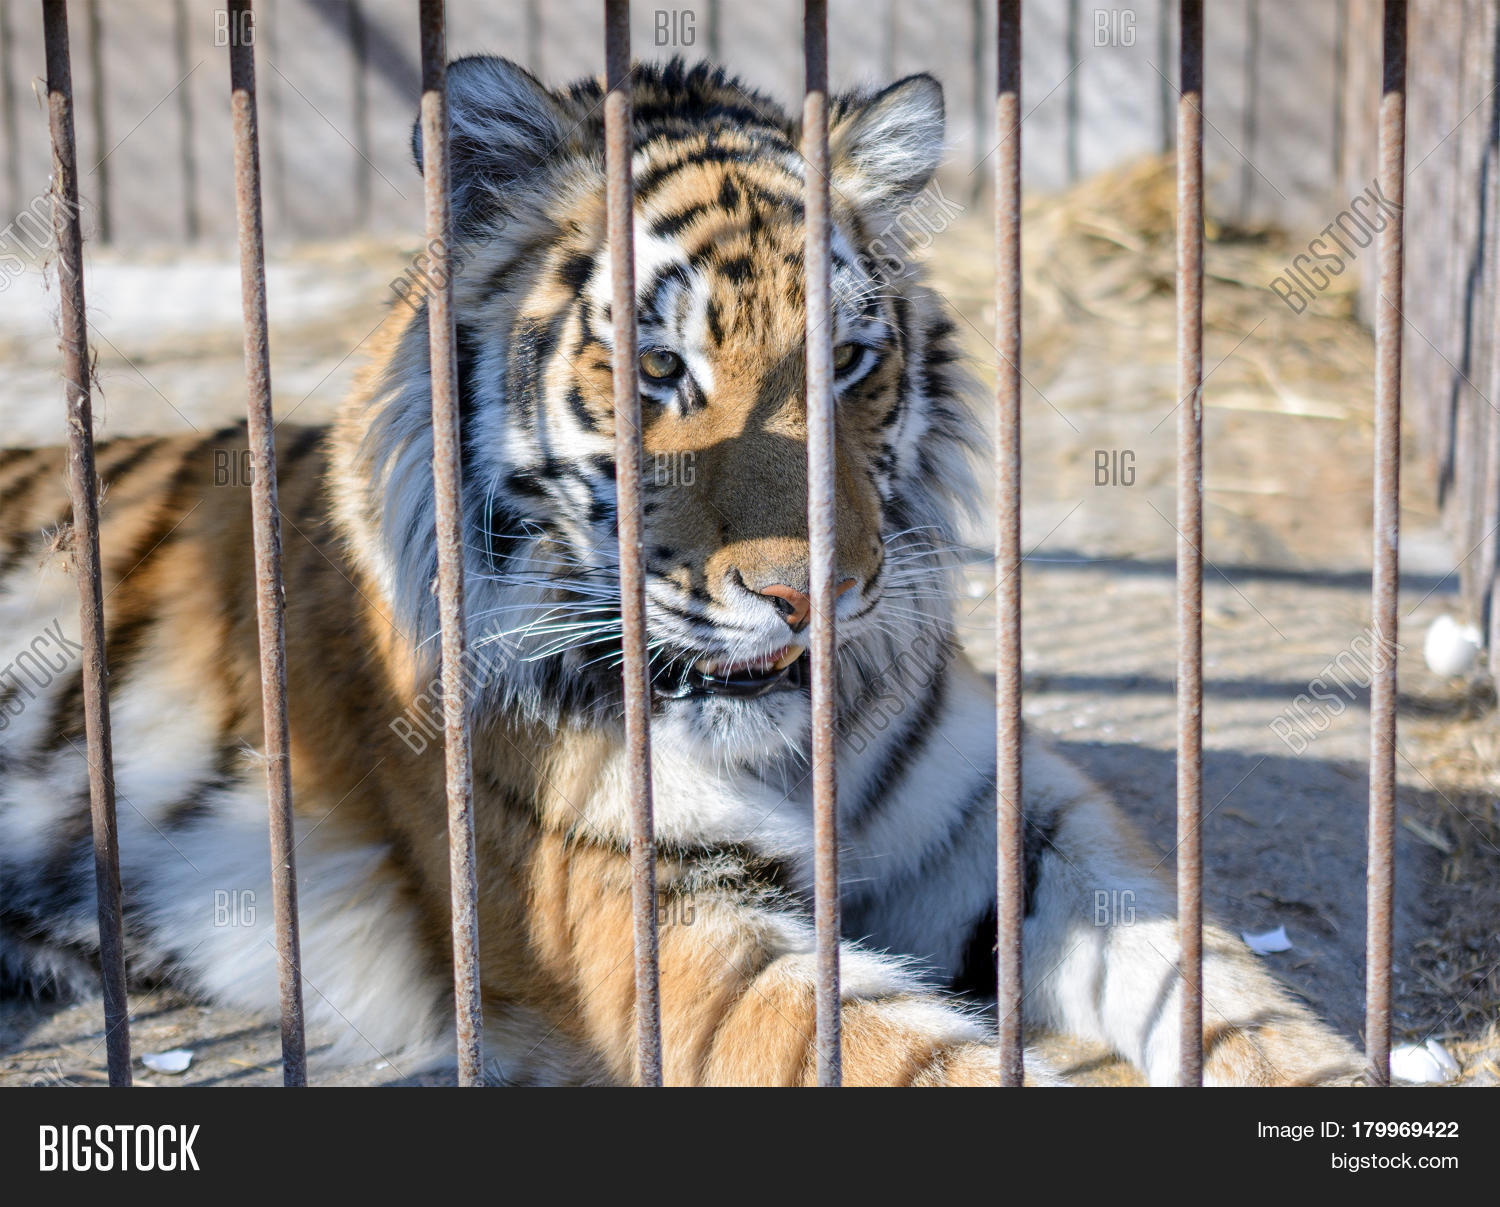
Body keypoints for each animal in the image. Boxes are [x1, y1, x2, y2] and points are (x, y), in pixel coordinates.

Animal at [0, 56, 1362, 1086]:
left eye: (851, 360)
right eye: (659, 371)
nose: (811, 594)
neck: (791, 742)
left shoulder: (1006, 817)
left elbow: (1212, 972)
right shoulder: (660, 916)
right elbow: (912, 1055)